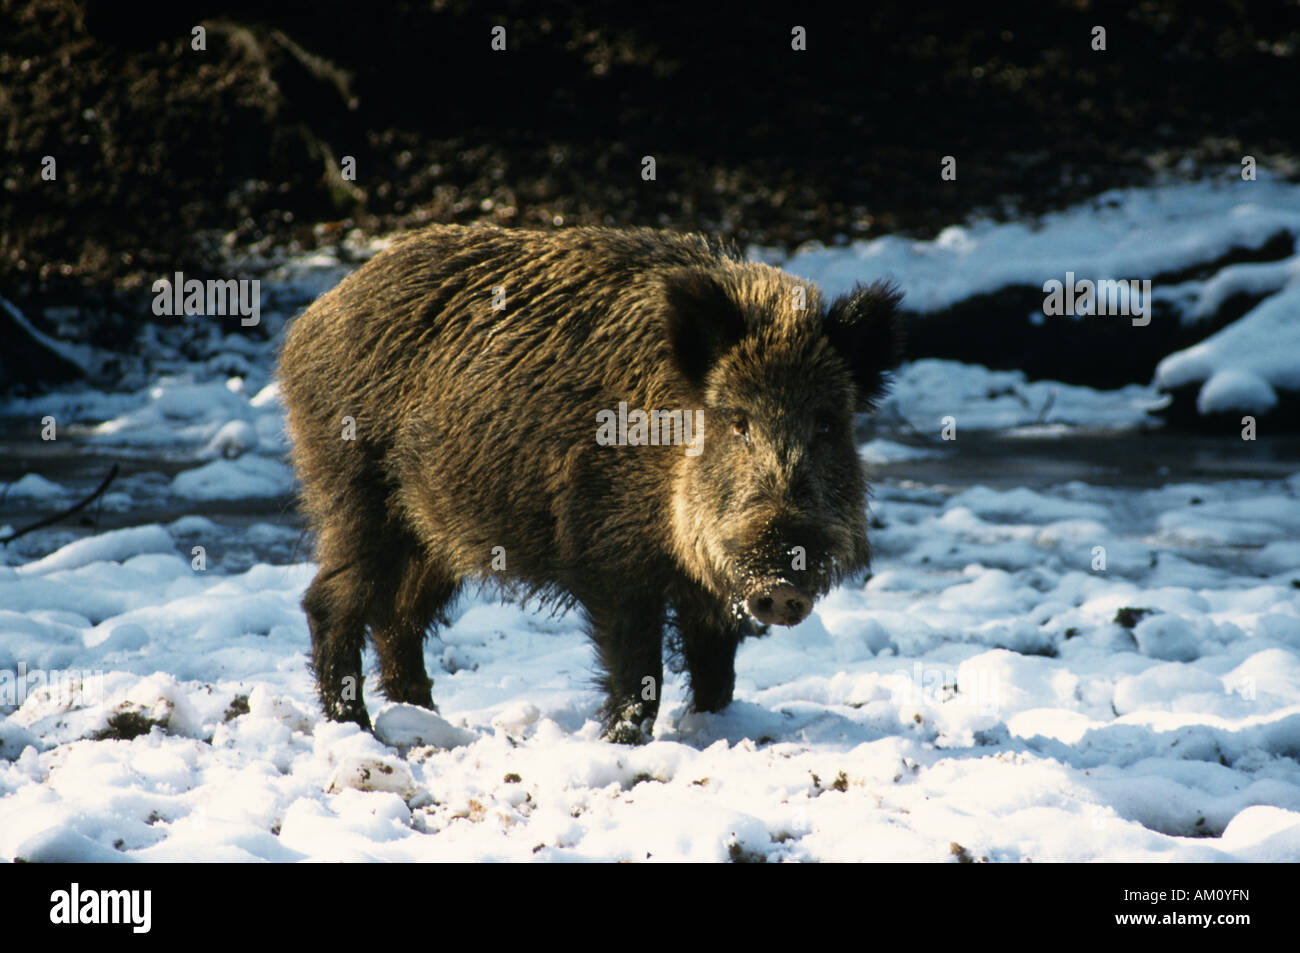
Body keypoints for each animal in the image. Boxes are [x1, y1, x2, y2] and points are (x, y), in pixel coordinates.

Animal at [278, 225, 901, 743]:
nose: (784, 583)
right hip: (352, 491)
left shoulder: (708, 580)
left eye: (828, 423)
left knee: (398, 616)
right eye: (738, 421)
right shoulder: (610, 556)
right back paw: (358, 729)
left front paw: (714, 729)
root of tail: (309, 323)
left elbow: (715, 668)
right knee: (329, 602)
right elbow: (638, 670)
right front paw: (624, 742)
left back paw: (429, 723)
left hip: (434, 530)